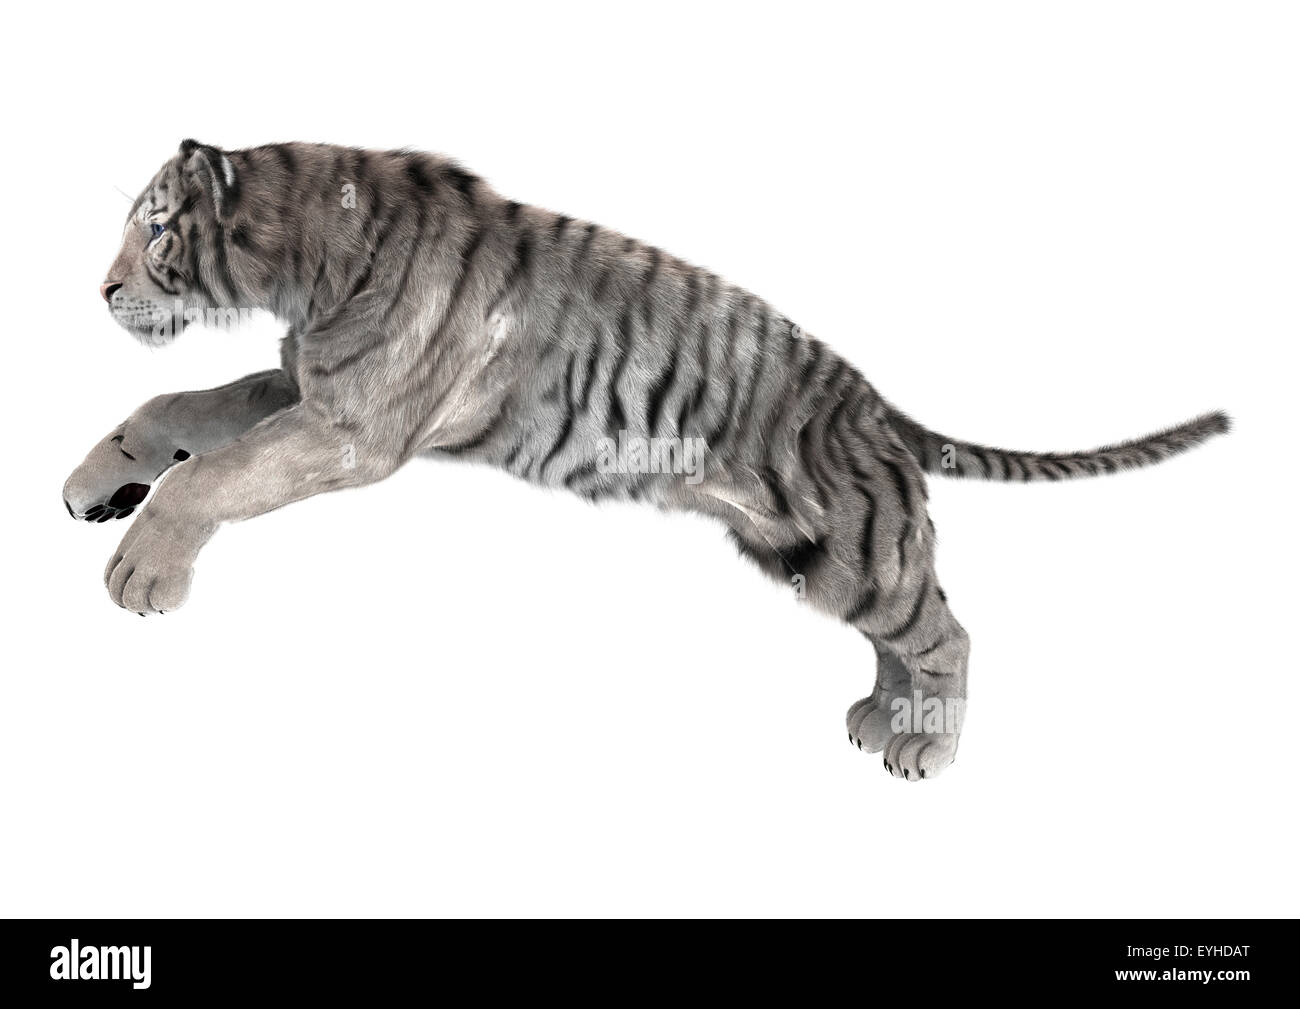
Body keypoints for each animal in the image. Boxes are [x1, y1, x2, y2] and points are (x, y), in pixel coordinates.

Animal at [63, 140, 1229, 780]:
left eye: (154, 229)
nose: (103, 290)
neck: (304, 262)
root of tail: (872, 401)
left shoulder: (350, 424)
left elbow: (209, 473)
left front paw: (141, 571)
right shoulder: (300, 386)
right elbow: (177, 410)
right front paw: (95, 482)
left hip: (857, 552)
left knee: (948, 630)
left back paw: (926, 746)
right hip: (803, 556)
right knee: (907, 633)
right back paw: (880, 719)